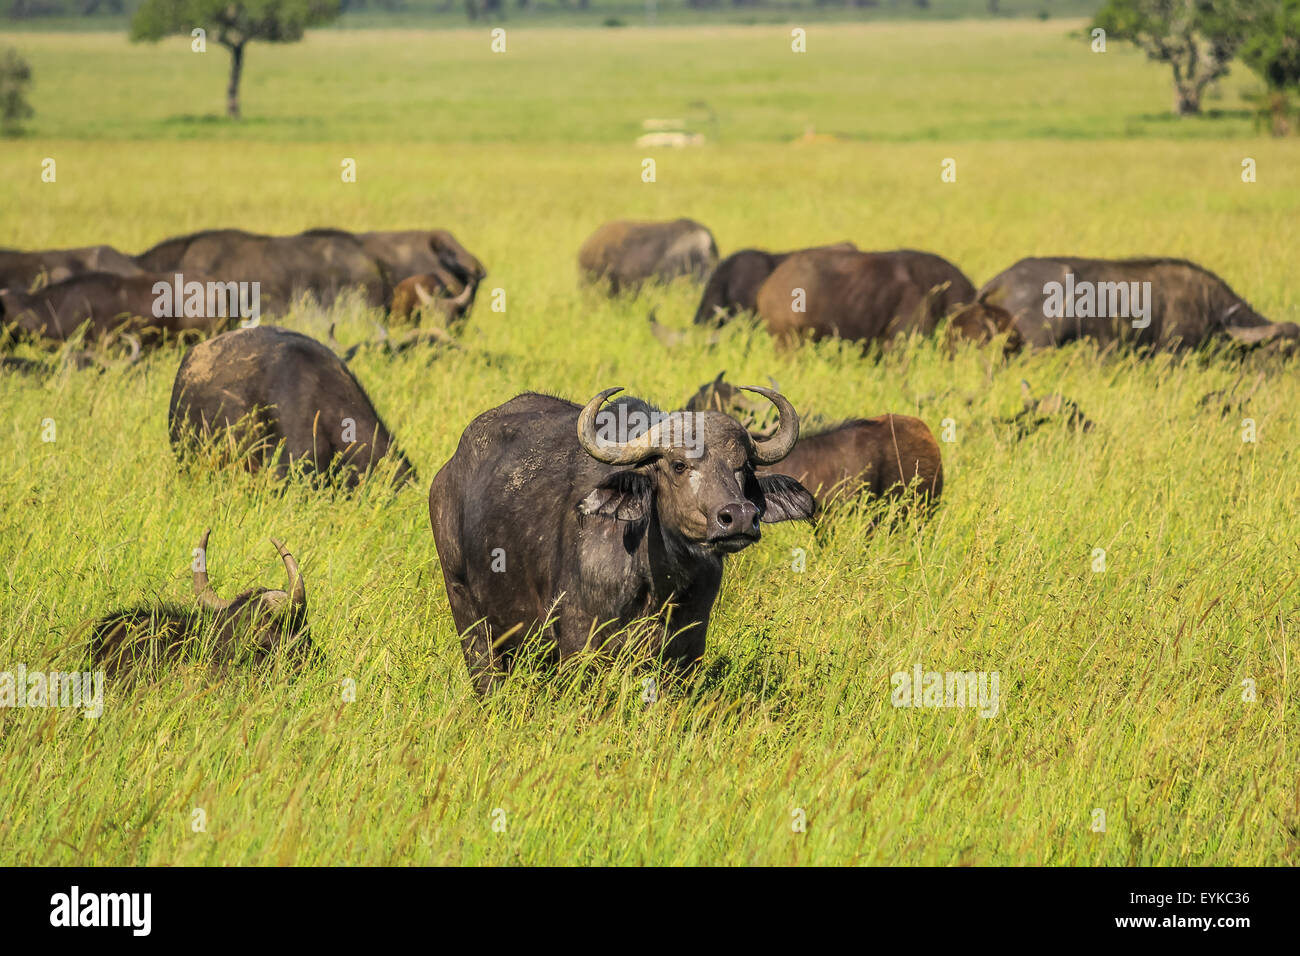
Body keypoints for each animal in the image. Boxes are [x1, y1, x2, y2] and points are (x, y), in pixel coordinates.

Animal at [429, 386, 815, 693]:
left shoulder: (687, 649)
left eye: (744, 468)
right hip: (467, 612)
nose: (739, 516)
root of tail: (446, 474)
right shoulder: (578, 644)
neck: (656, 583)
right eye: (678, 465)